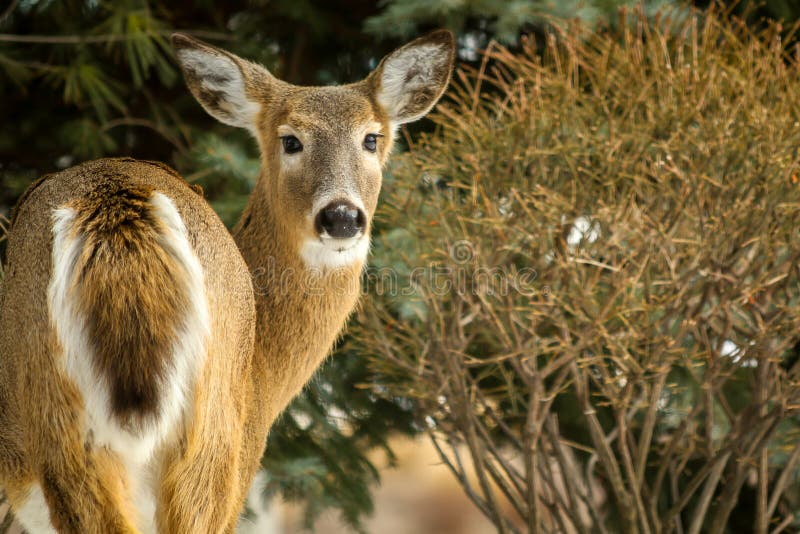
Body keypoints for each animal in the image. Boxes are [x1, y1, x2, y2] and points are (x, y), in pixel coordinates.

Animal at [0, 30, 454, 533]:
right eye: (290, 140)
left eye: (371, 138)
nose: (341, 216)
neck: (263, 376)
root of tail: (114, 207)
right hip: (207, 440)